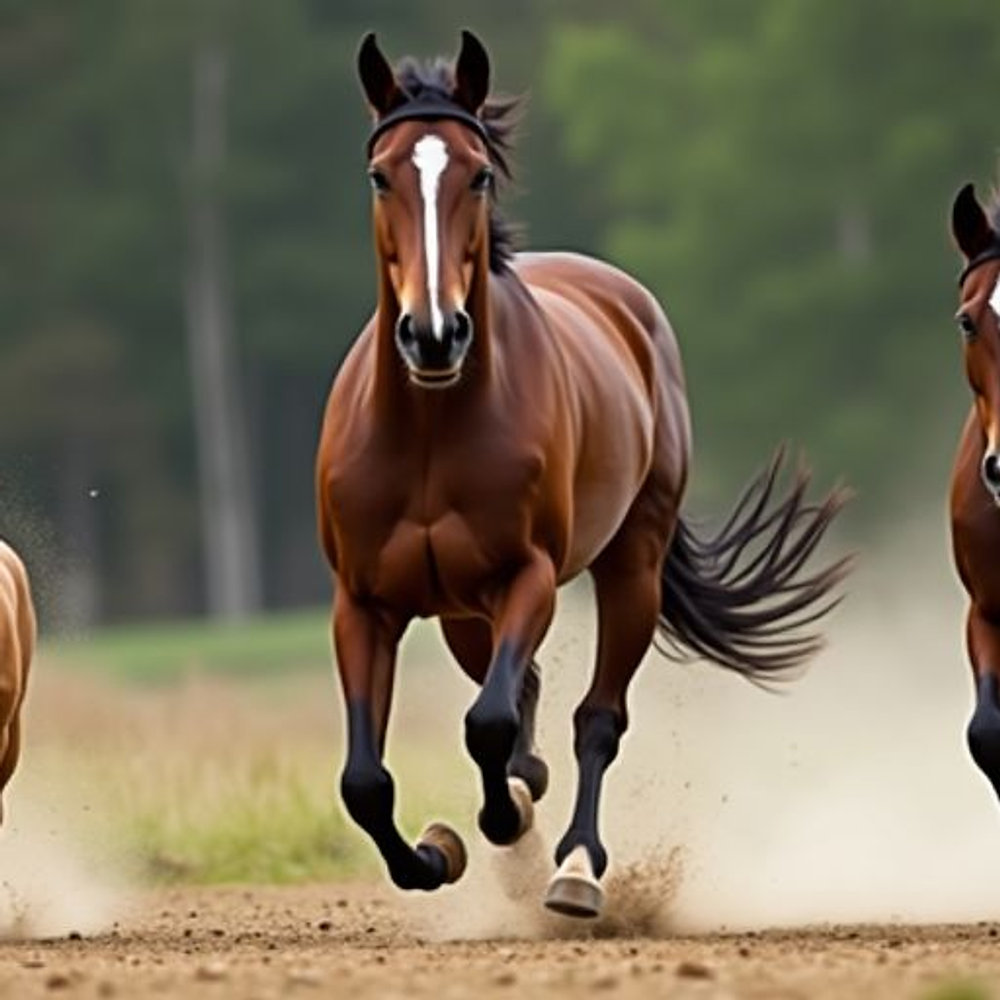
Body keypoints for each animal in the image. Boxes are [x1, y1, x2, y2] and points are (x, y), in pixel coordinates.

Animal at [315, 30, 849, 917]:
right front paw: (433, 855)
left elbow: (490, 724)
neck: (429, 432)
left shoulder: (526, 576)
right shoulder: (363, 603)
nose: (435, 334)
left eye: (478, 173)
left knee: (594, 717)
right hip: (461, 614)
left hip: (630, 569)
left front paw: (502, 822)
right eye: (380, 175)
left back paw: (573, 866)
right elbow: (365, 779)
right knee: (520, 693)